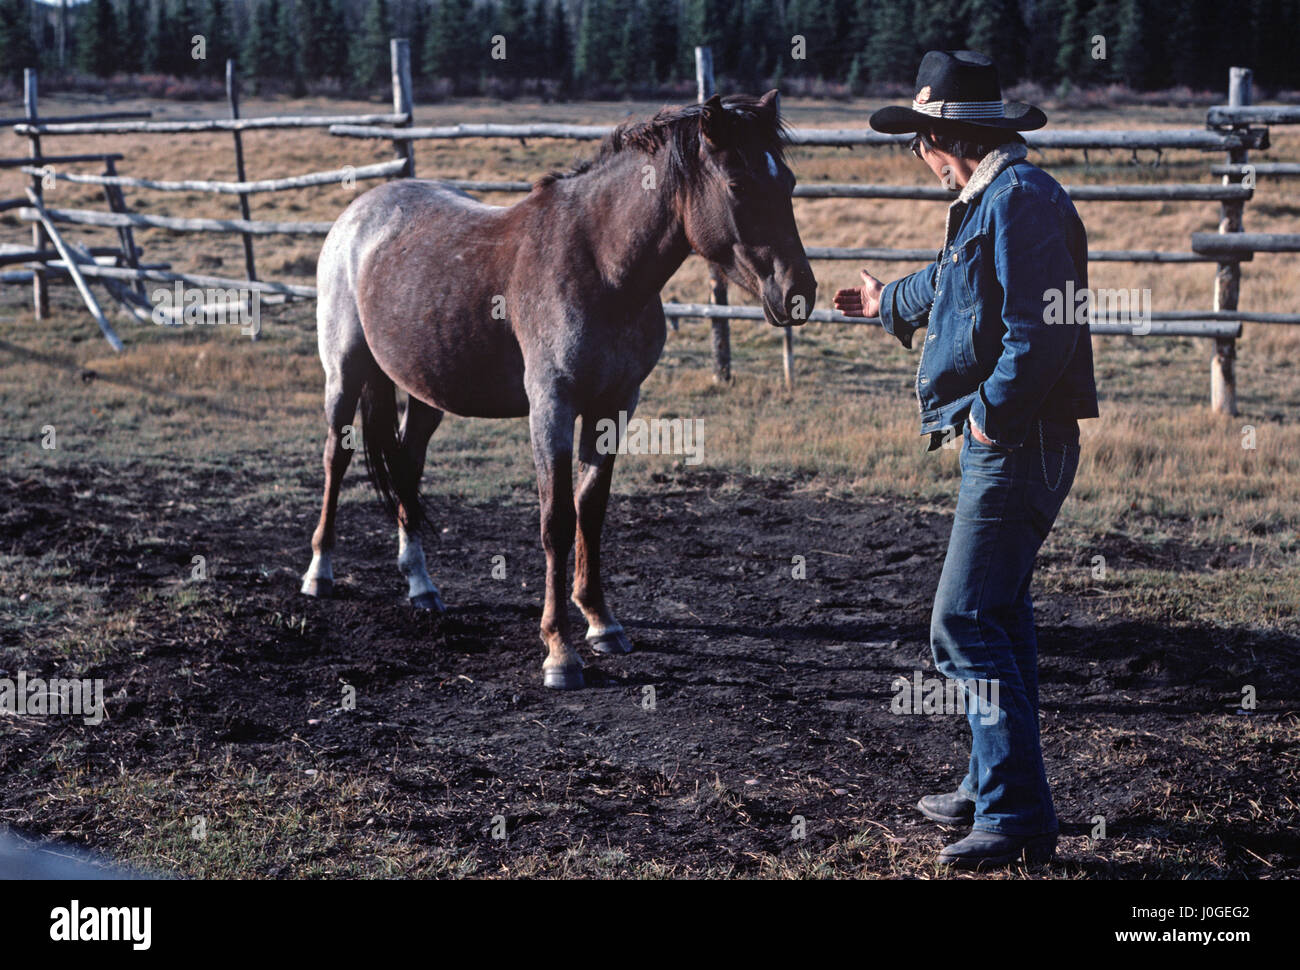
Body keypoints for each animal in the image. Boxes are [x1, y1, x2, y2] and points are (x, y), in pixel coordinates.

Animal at [301, 90, 817, 689]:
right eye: (737, 183)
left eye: (790, 182)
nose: (799, 292)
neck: (602, 265)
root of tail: (359, 212)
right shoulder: (551, 406)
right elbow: (557, 520)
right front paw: (559, 652)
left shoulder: (614, 406)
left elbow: (590, 510)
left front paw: (601, 623)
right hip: (345, 371)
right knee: (335, 459)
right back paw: (319, 574)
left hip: (426, 391)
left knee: (407, 466)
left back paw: (422, 587)